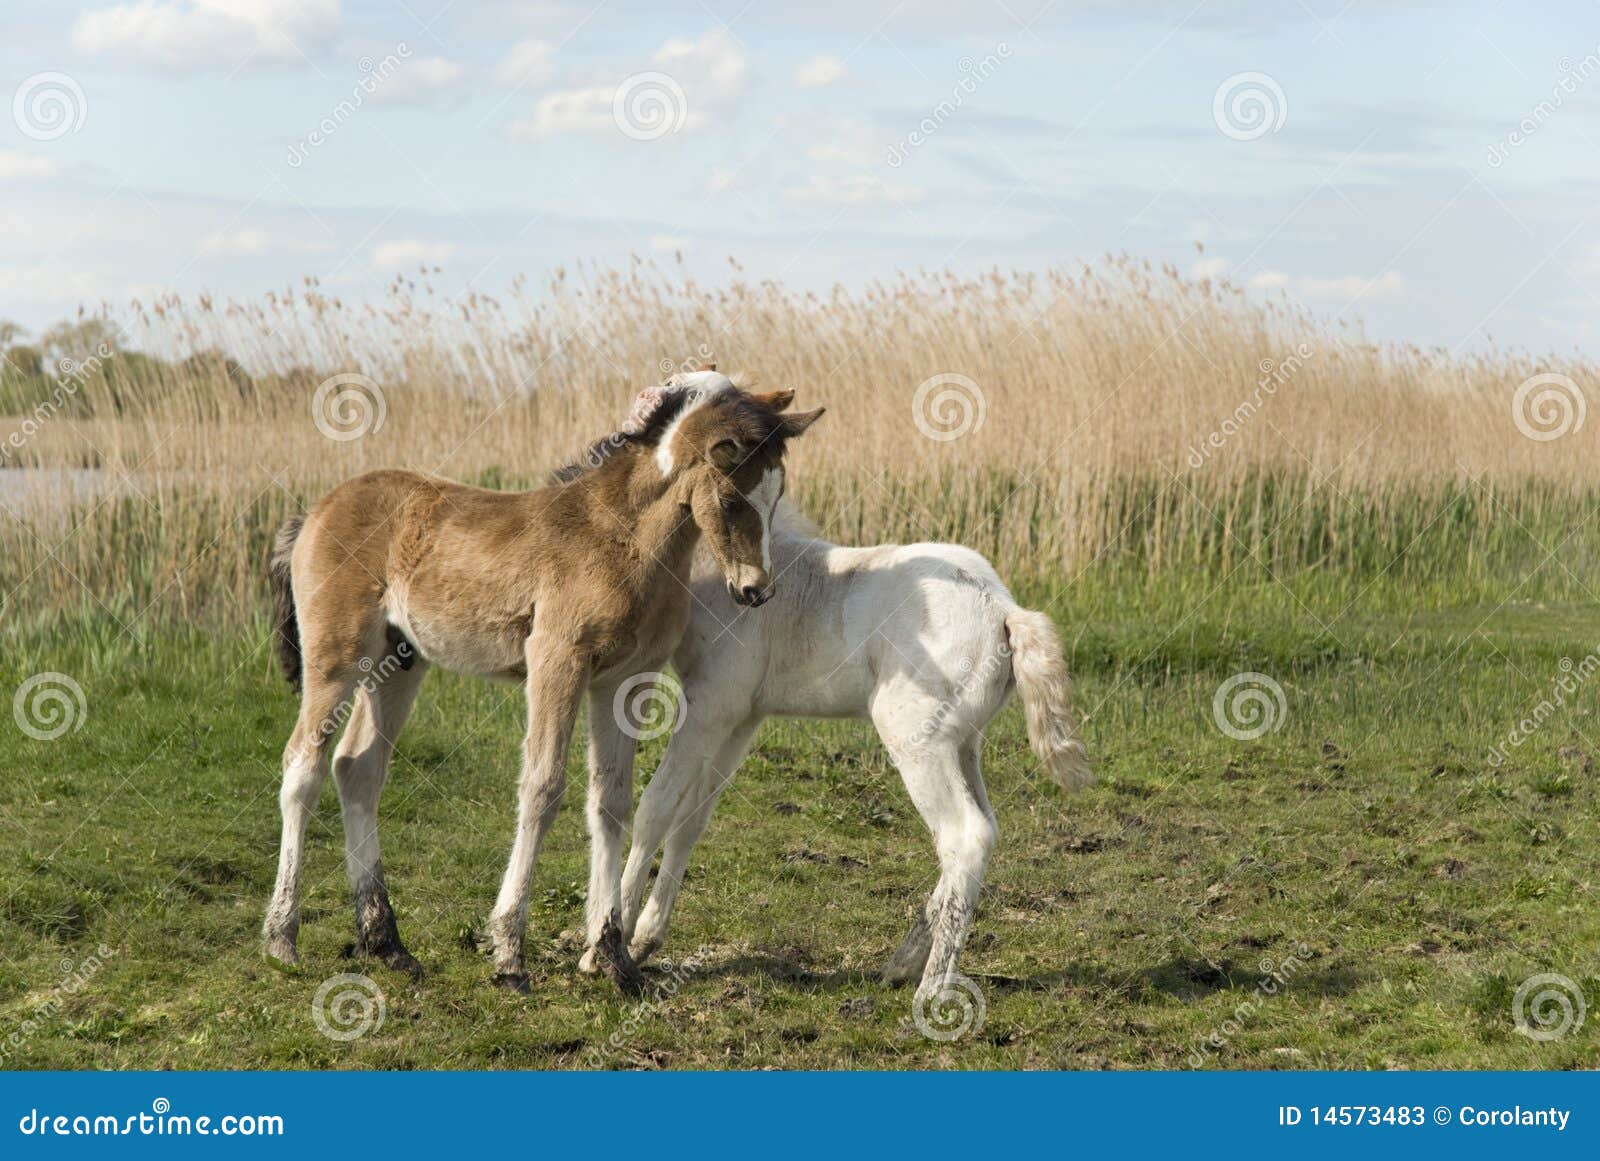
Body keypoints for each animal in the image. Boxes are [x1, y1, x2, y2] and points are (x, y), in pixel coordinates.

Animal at [261, 373, 825, 994]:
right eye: (730, 500)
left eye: (776, 497)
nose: (756, 590)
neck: (621, 539)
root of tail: (314, 510)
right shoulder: (557, 660)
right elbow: (543, 787)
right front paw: (510, 951)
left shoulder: (623, 681)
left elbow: (611, 800)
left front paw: (612, 954)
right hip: (336, 659)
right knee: (303, 767)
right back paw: (282, 938)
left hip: (398, 664)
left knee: (357, 770)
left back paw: (386, 943)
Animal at [582, 390, 1095, 1008]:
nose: (754, 593)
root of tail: (1004, 610)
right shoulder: (741, 716)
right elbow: (693, 817)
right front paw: (647, 938)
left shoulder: (710, 704)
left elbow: (656, 809)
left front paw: (606, 950)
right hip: (962, 744)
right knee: (984, 831)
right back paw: (901, 963)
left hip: (915, 739)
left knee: (963, 836)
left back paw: (930, 991)